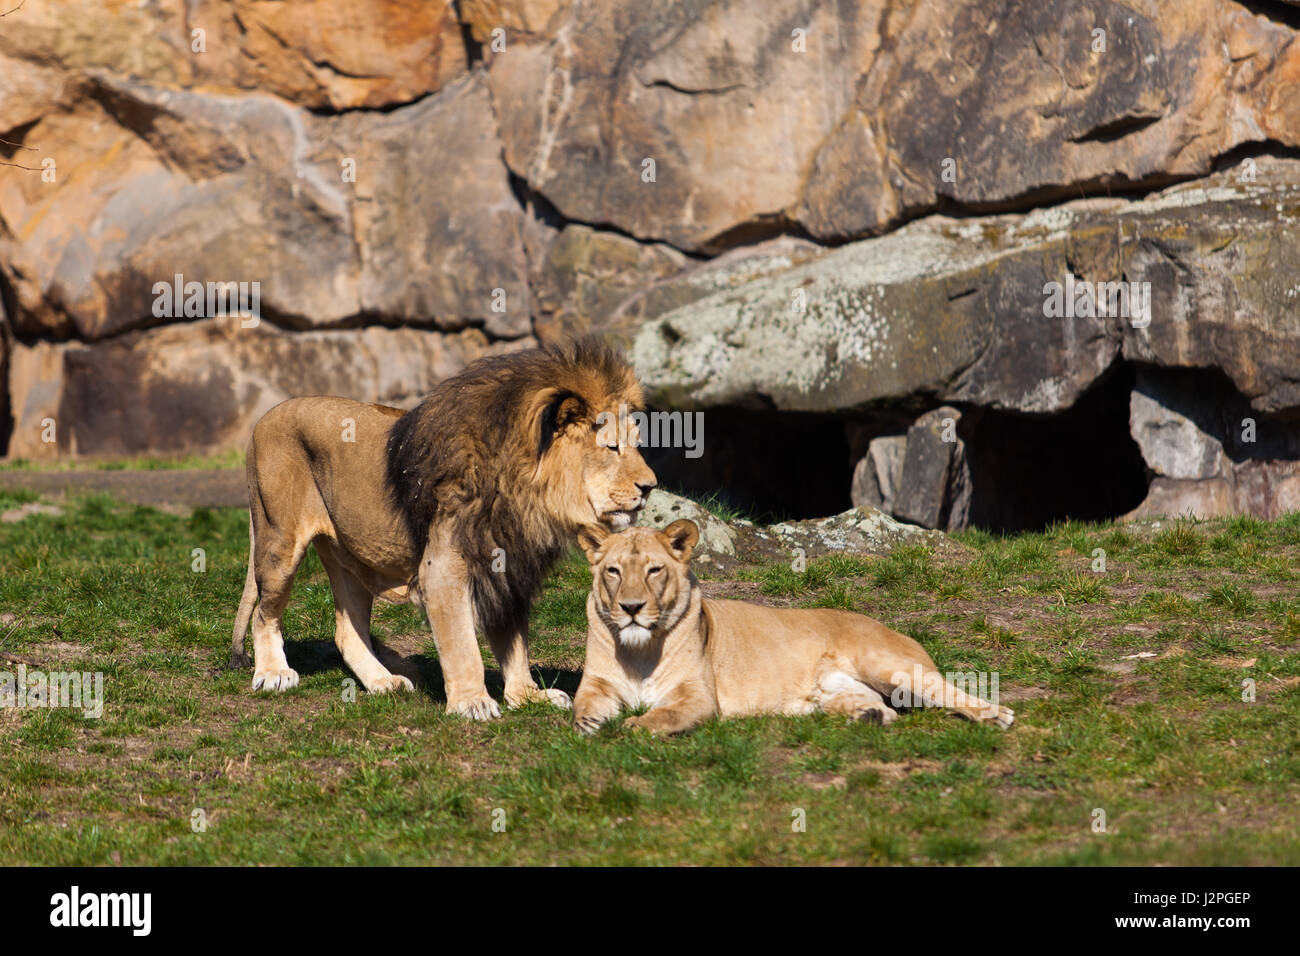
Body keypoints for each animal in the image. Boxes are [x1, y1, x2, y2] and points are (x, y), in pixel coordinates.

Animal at [229, 339, 657, 720]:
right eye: (612, 448)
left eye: (636, 444)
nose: (650, 486)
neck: (525, 491)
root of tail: (265, 418)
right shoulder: (443, 568)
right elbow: (462, 643)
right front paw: (472, 703)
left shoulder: (508, 569)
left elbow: (515, 642)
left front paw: (526, 696)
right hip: (279, 540)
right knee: (264, 613)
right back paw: (273, 674)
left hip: (349, 557)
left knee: (346, 630)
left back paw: (383, 682)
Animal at [572, 520, 1014, 735]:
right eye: (613, 571)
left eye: (654, 570)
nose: (631, 608)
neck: (640, 649)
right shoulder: (597, 684)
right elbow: (583, 706)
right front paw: (589, 725)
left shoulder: (699, 697)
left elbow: (663, 716)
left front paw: (634, 725)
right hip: (831, 690)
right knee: (882, 707)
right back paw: (869, 717)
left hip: (889, 665)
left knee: (949, 691)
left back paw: (996, 716)